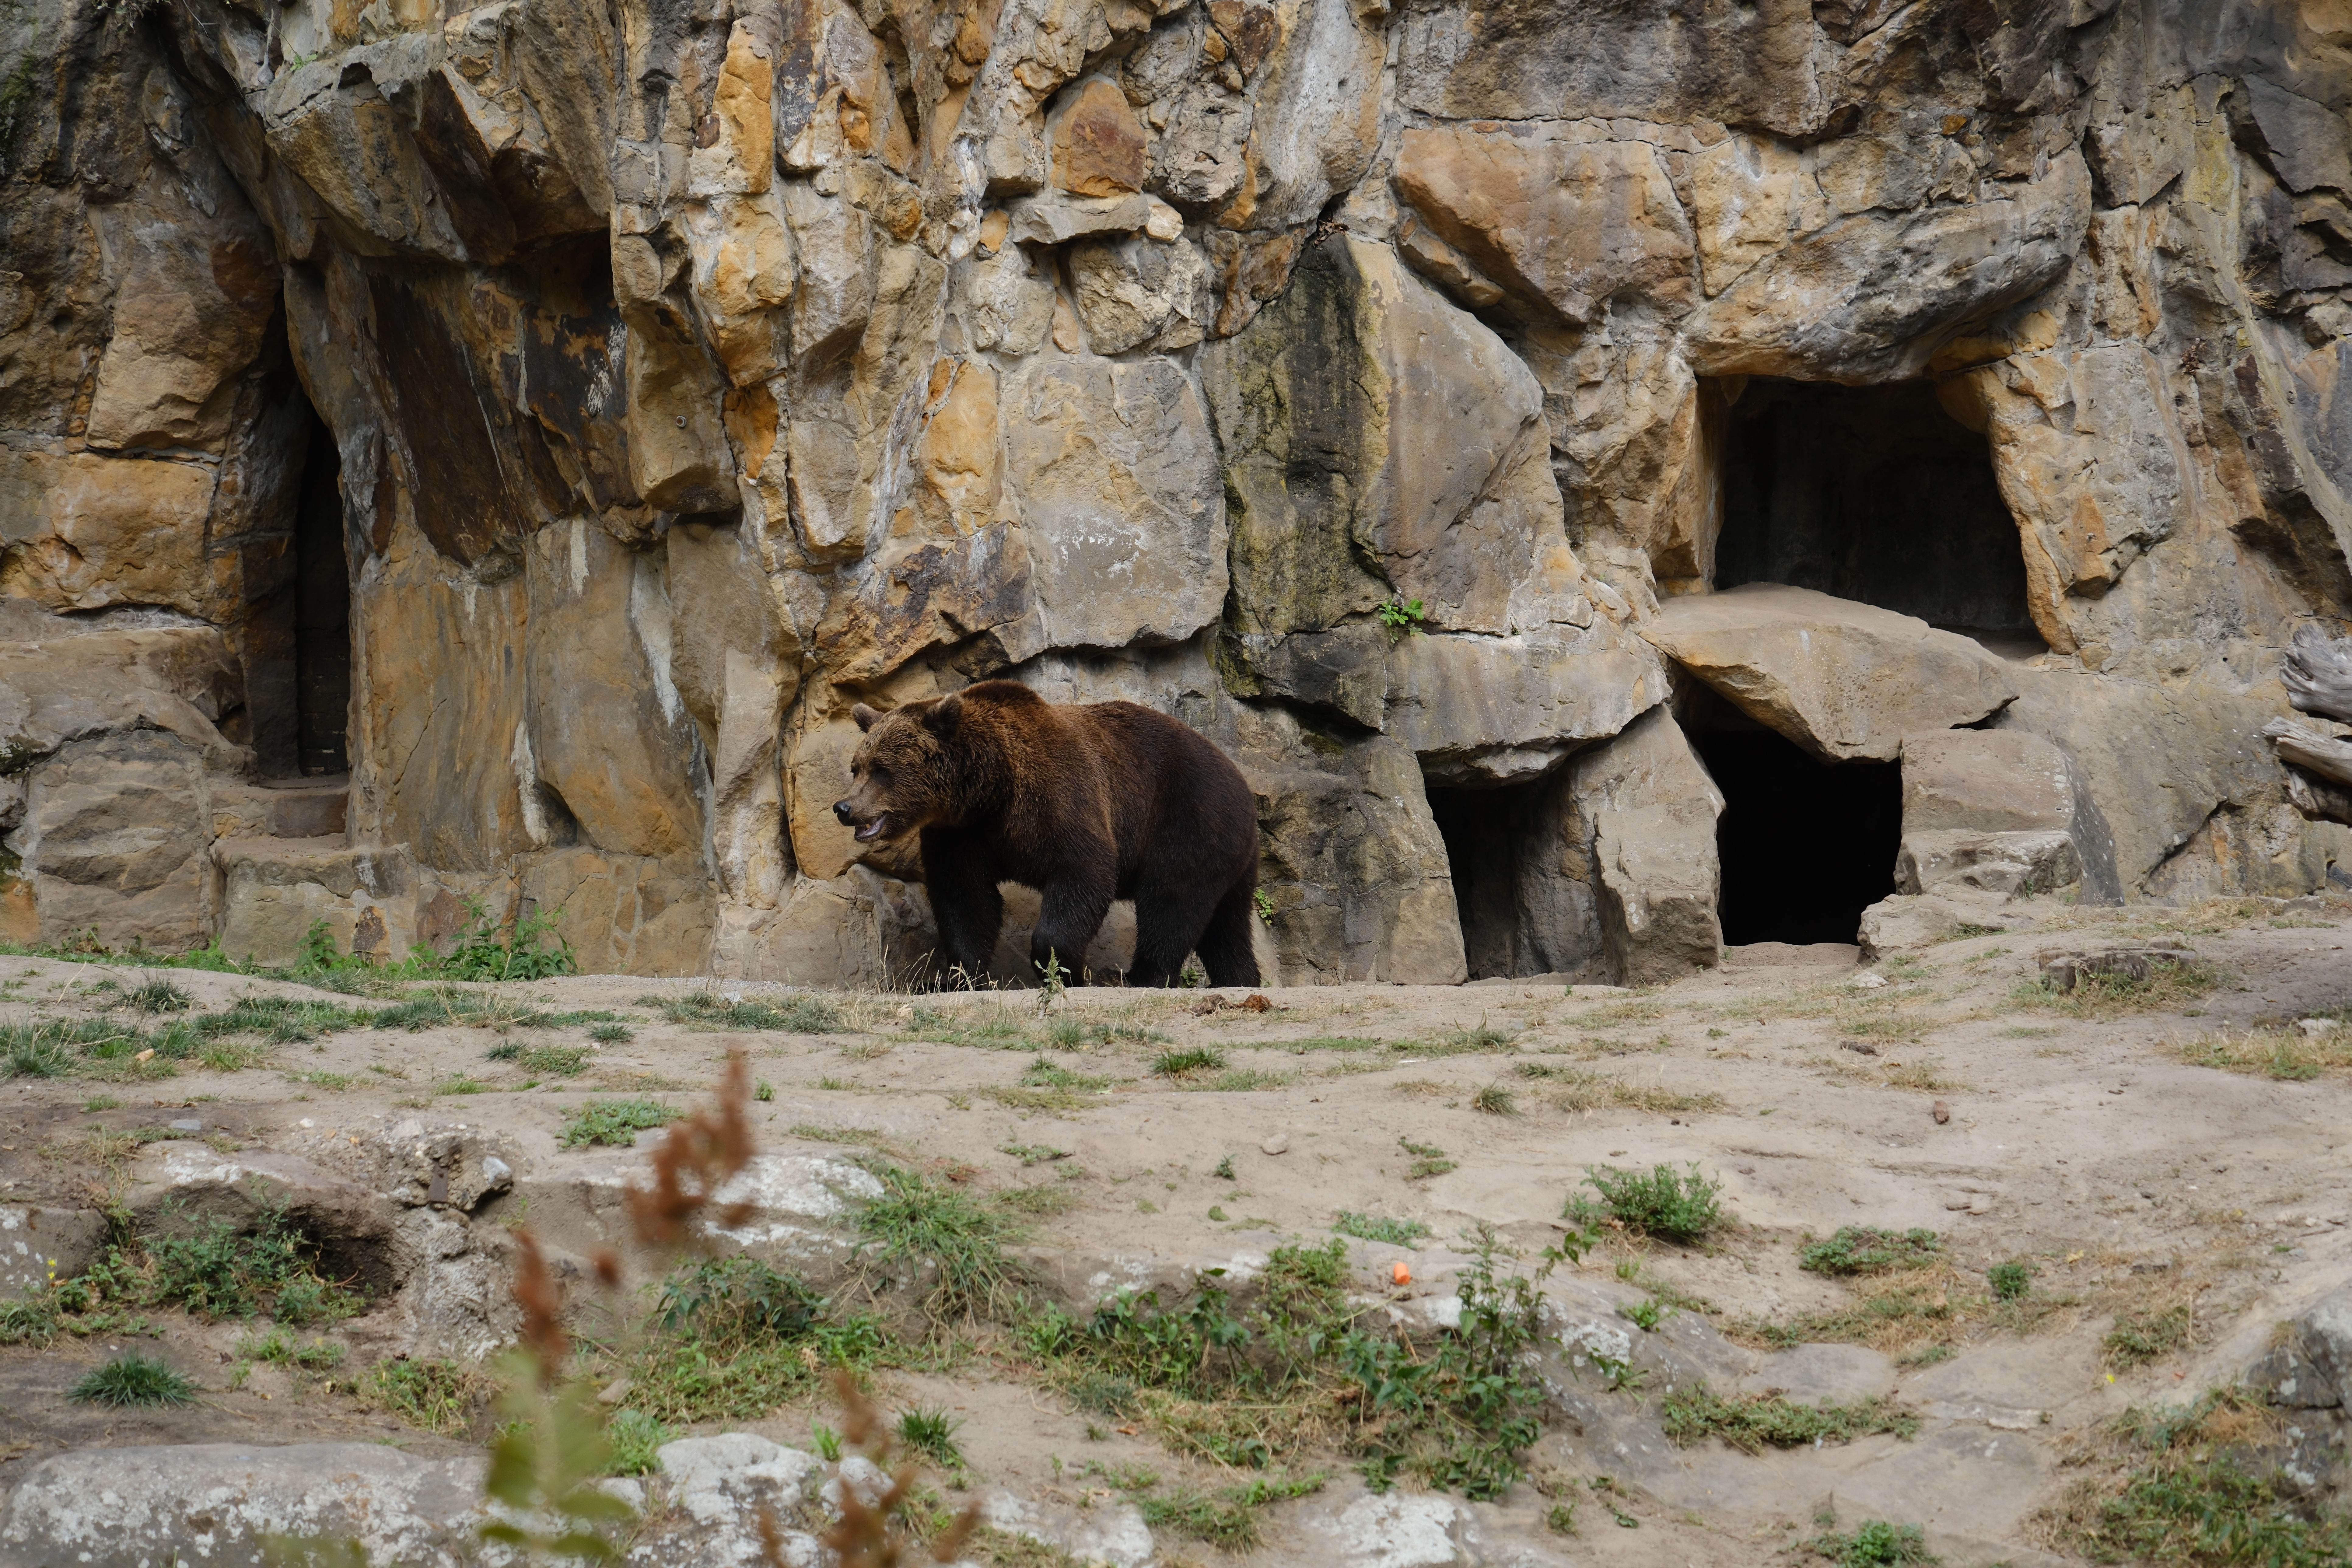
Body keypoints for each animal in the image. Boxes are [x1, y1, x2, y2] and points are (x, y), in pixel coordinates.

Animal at [832, 680, 1262, 988]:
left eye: (882, 769)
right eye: (857, 767)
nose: (844, 808)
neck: (989, 791)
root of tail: (1243, 782)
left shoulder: (1057, 797)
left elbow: (1084, 873)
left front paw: (1066, 969)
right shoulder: (960, 834)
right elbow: (965, 898)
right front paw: (958, 978)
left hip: (1189, 820)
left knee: (1170, 901)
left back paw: (1139, 976)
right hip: (1231, 857)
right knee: (1227, 924)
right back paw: (1240, 978)